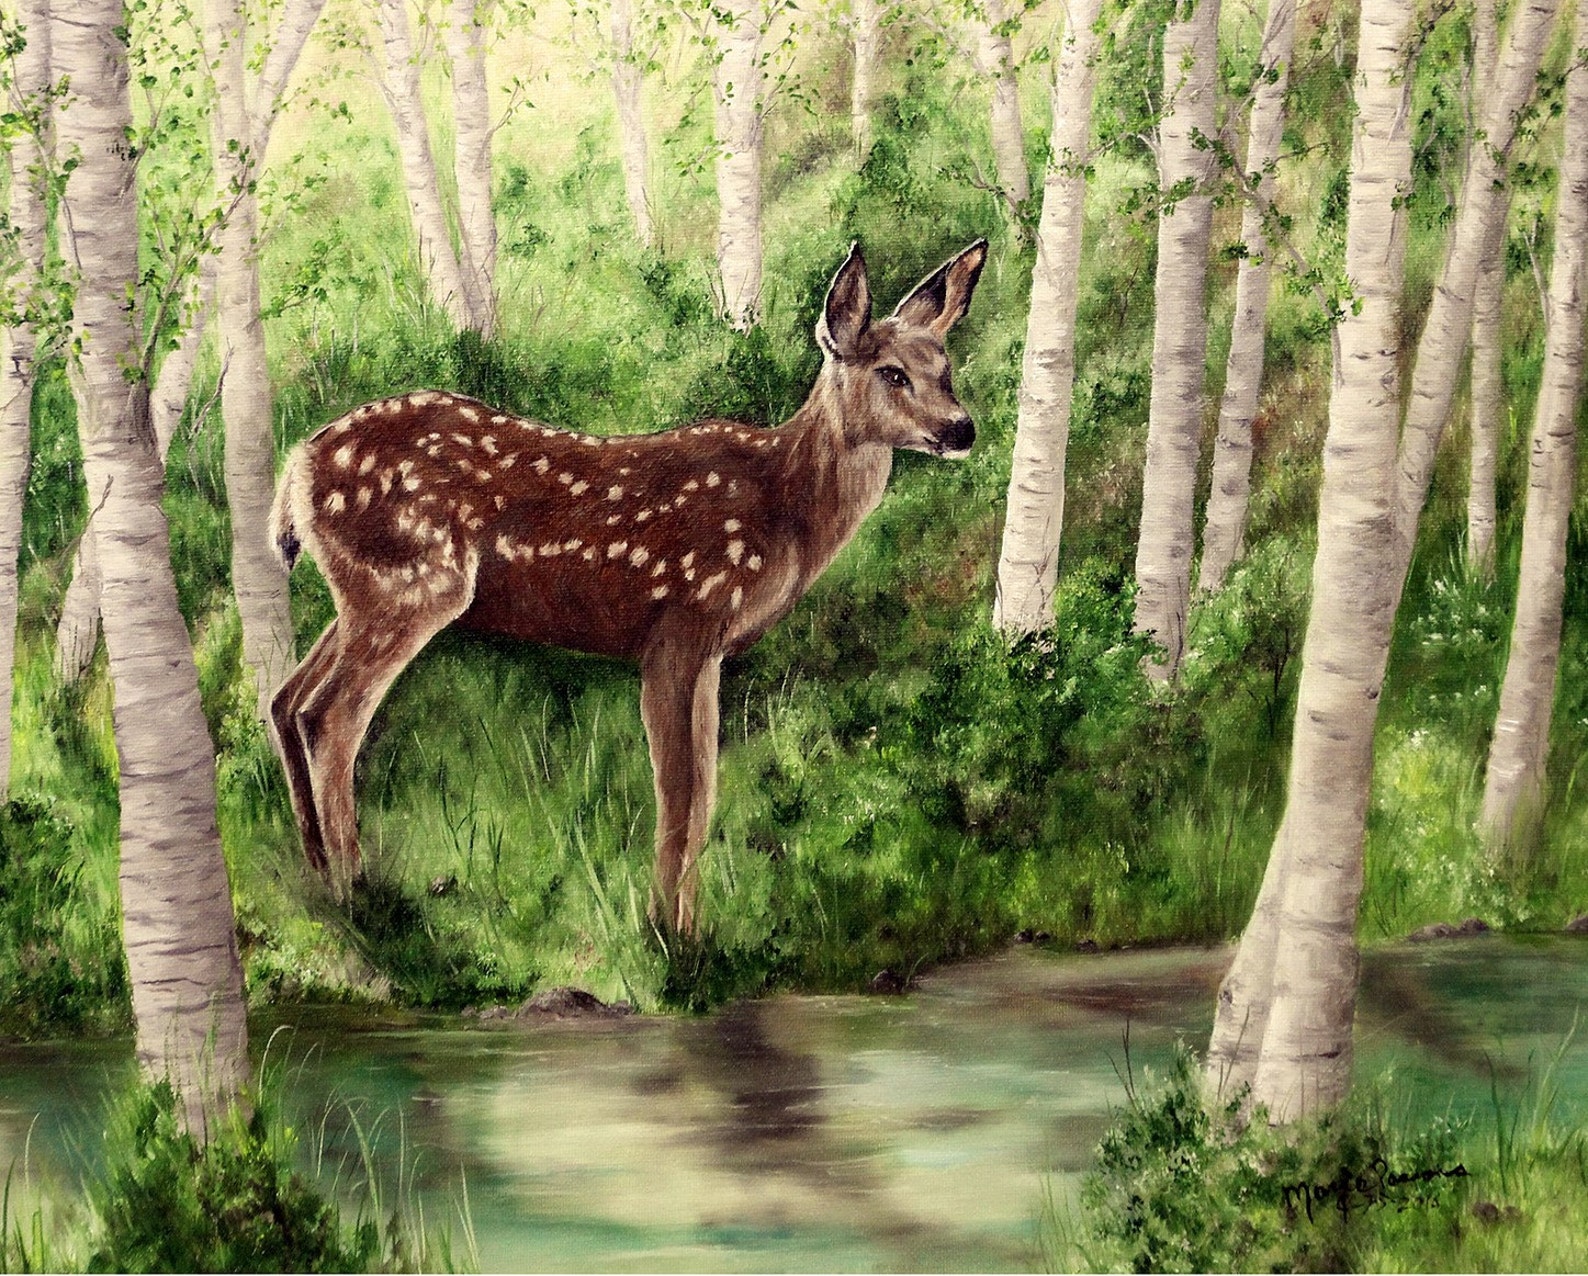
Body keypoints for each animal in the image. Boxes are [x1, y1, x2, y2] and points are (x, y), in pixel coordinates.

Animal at [267, 239, 987, 935]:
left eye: (946, 369)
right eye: (891, 372)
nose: (962, 428)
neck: (782, 504)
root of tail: (297, 465)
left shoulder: (709, 651)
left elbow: (703, 793)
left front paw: (688, 928)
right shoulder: (680, 625)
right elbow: (681, 792)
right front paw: (668, 935)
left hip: (364, 593)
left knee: (285, 698)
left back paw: (318, 877)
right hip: (412, 584)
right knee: (330, 716)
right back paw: (360, 893)